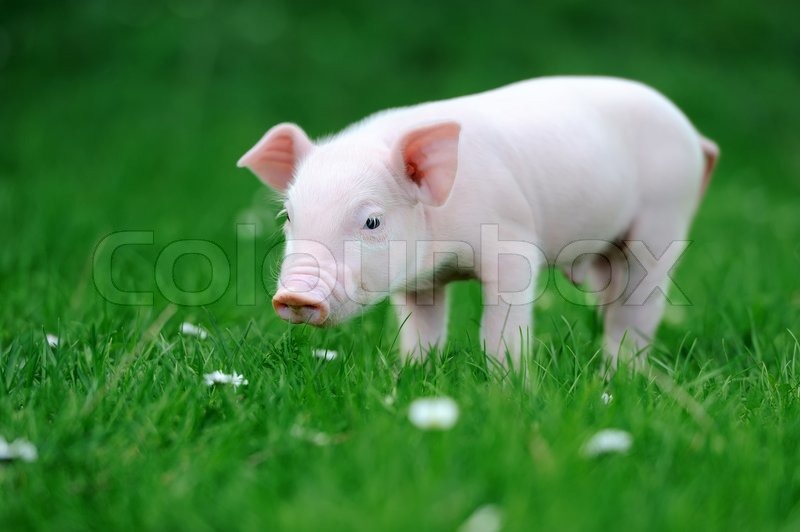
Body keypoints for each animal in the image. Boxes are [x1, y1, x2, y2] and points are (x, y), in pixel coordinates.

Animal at [237, 76, 718, 370]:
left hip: (664, 216)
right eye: (288, 216)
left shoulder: (514, 240)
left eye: (372, 220)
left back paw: (619, 375)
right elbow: (421, 329)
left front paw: (508, 387)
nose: (295, 294)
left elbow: (501, 327)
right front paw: (413, 375)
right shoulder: (420, 280)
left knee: (639, 307)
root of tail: (695, 137)